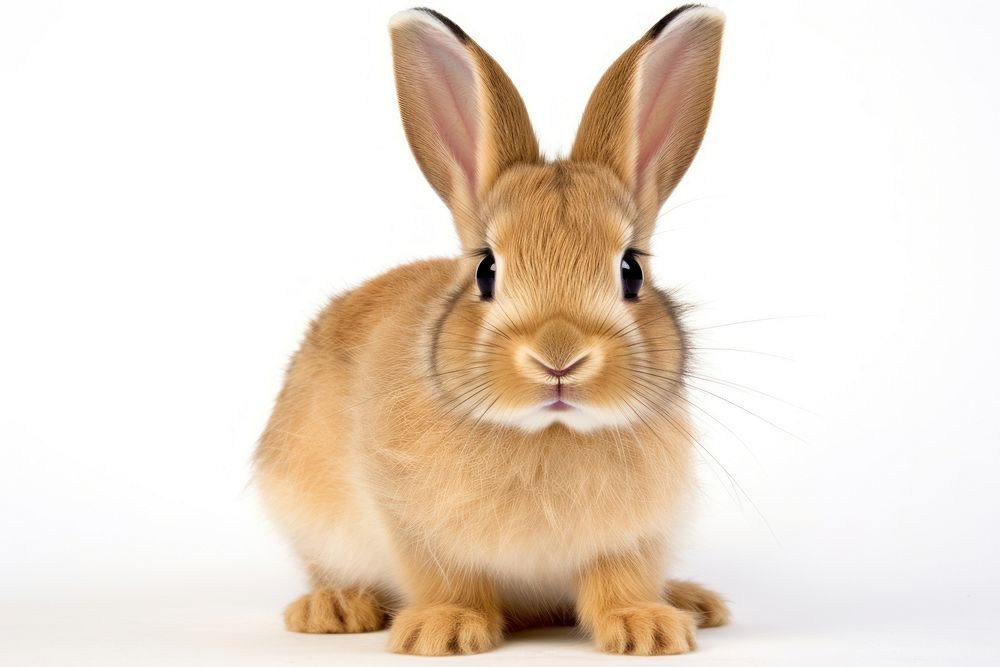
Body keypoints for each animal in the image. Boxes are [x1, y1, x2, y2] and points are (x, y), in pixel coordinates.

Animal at [255, 5, 729, 656]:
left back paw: (691, 602)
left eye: (631, 270)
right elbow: (449, 578)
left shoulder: (632, 538)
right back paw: (333, 608)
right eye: (487, 270)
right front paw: (444, 631)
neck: (550, 432)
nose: (559, 357)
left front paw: (647, 629)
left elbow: (618, 580)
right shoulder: (414, 525)